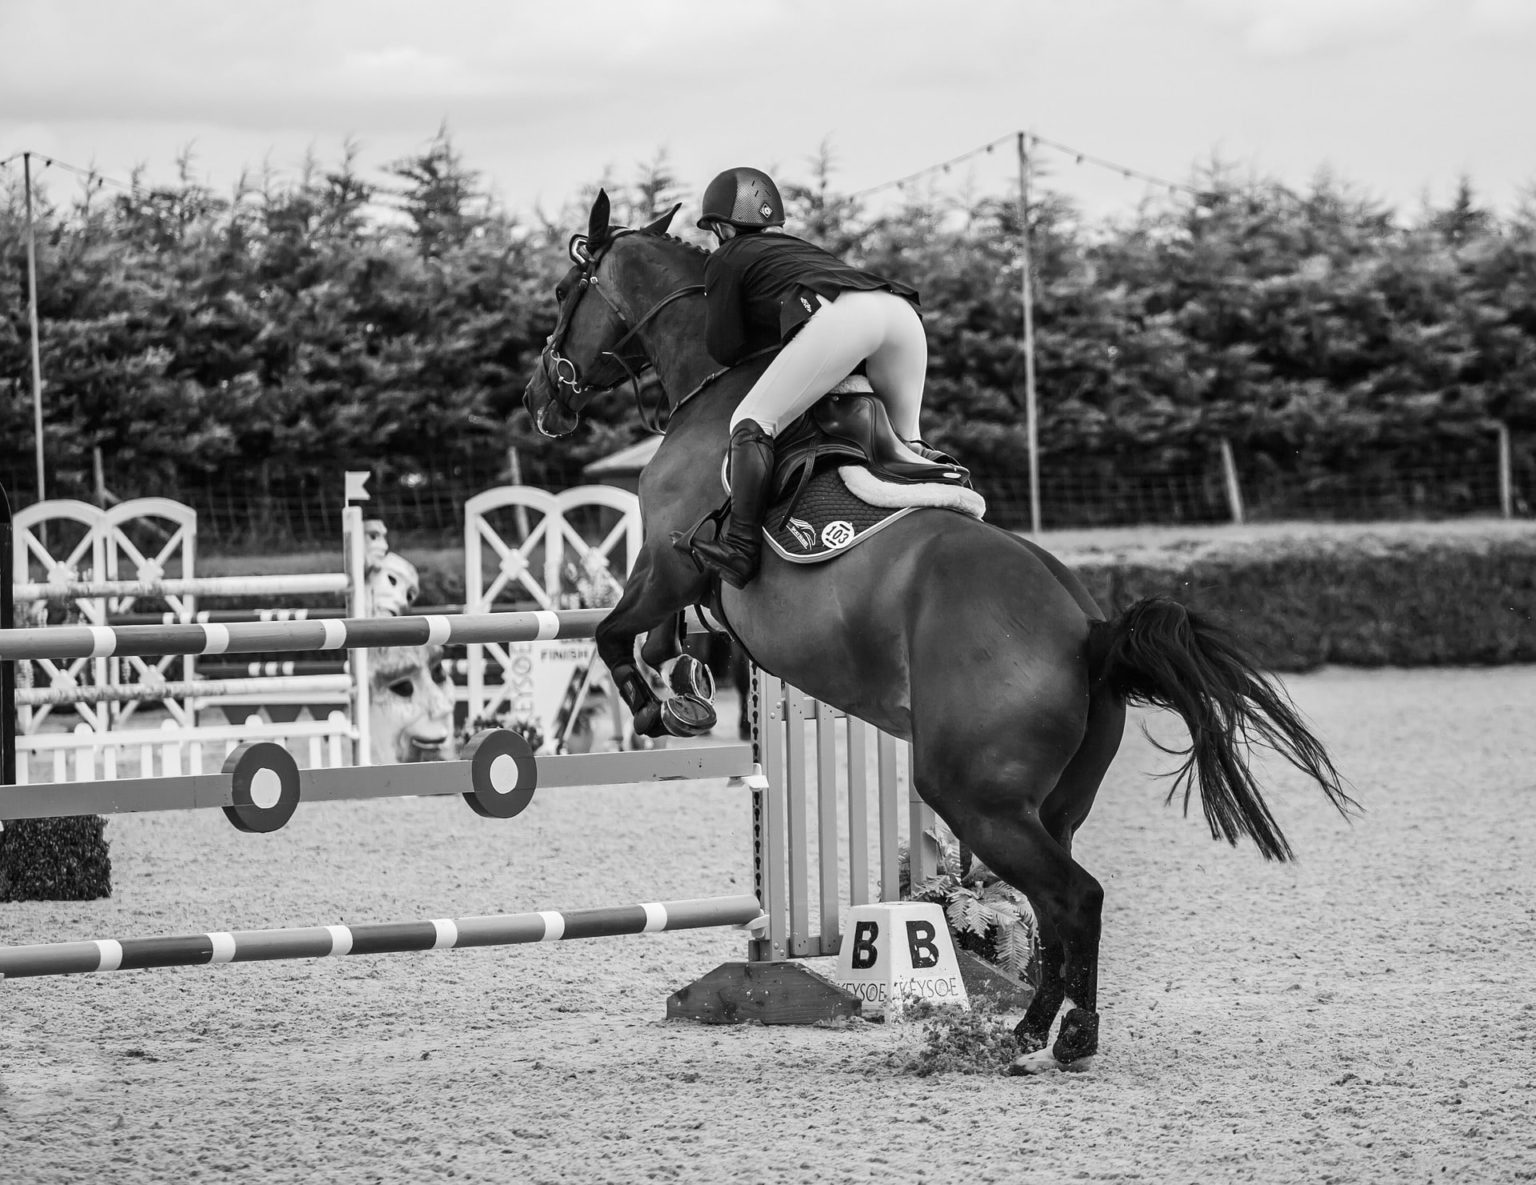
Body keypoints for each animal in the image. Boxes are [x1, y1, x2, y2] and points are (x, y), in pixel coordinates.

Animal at [522, 190, 1353, 1072]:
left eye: (563, 293)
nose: (541, 397)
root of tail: (1088, 632)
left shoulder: (669, 562)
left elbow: (617, 634)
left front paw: (658, 707)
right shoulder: (681, 581)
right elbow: (653, 637)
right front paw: (685, 685)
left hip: (970, 792)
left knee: (1075, 896)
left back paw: (1066, 1037)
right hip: (1047, 802)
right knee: (1052, 907)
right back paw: (1026, 1029)